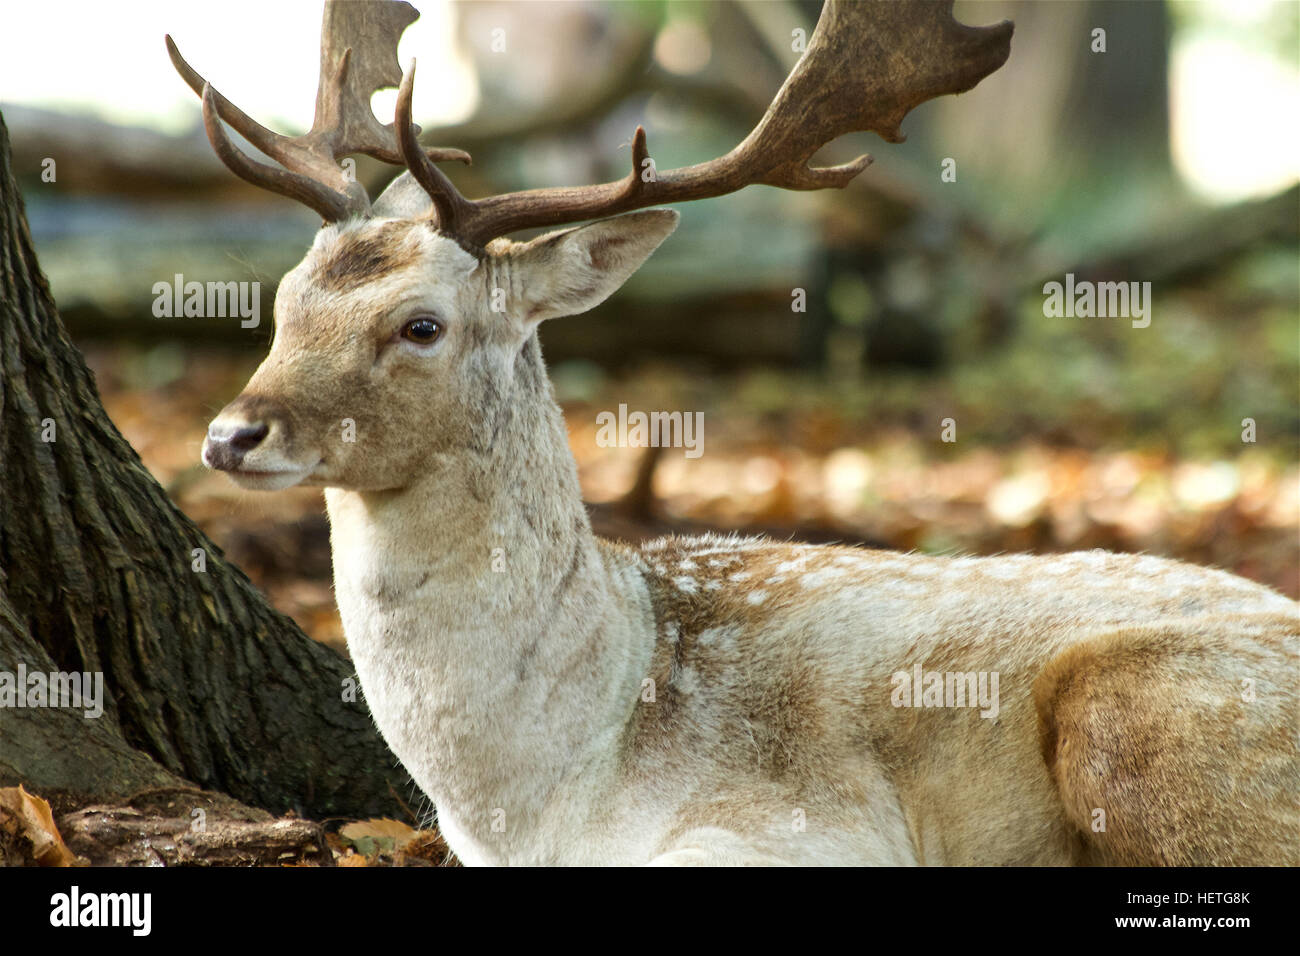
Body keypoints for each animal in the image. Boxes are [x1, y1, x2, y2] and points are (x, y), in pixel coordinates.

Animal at [171, 0, 1299, 866]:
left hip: (1142, 715)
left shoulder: (810, 830)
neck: (542, 801)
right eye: (283, 301)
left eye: (419, 325)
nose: (232, 433)